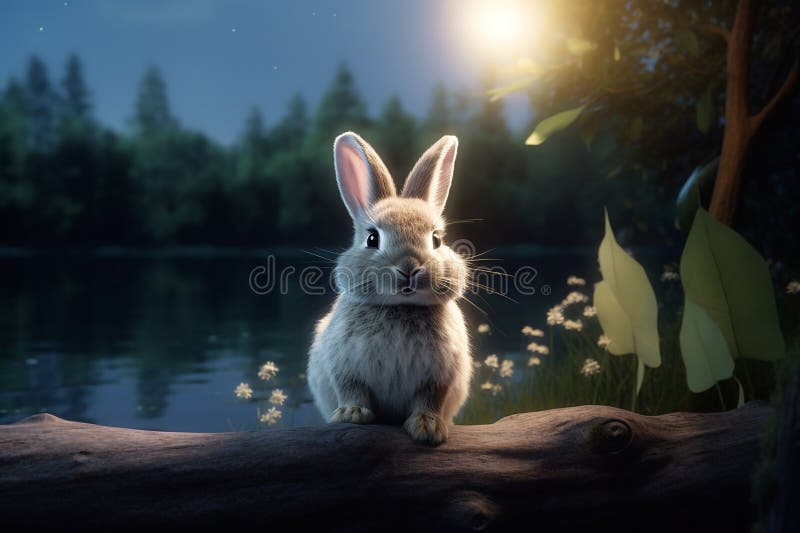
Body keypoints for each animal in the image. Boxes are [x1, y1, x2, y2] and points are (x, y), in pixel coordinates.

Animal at [307, 131, 473, 445]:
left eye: (436, 240)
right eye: (372, 239)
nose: (409, 268)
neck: (401, 307)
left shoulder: (439, 375)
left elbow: (429, 400)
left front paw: (428, 427)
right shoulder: (345, 365)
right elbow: (351, 390)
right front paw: (352, 414)